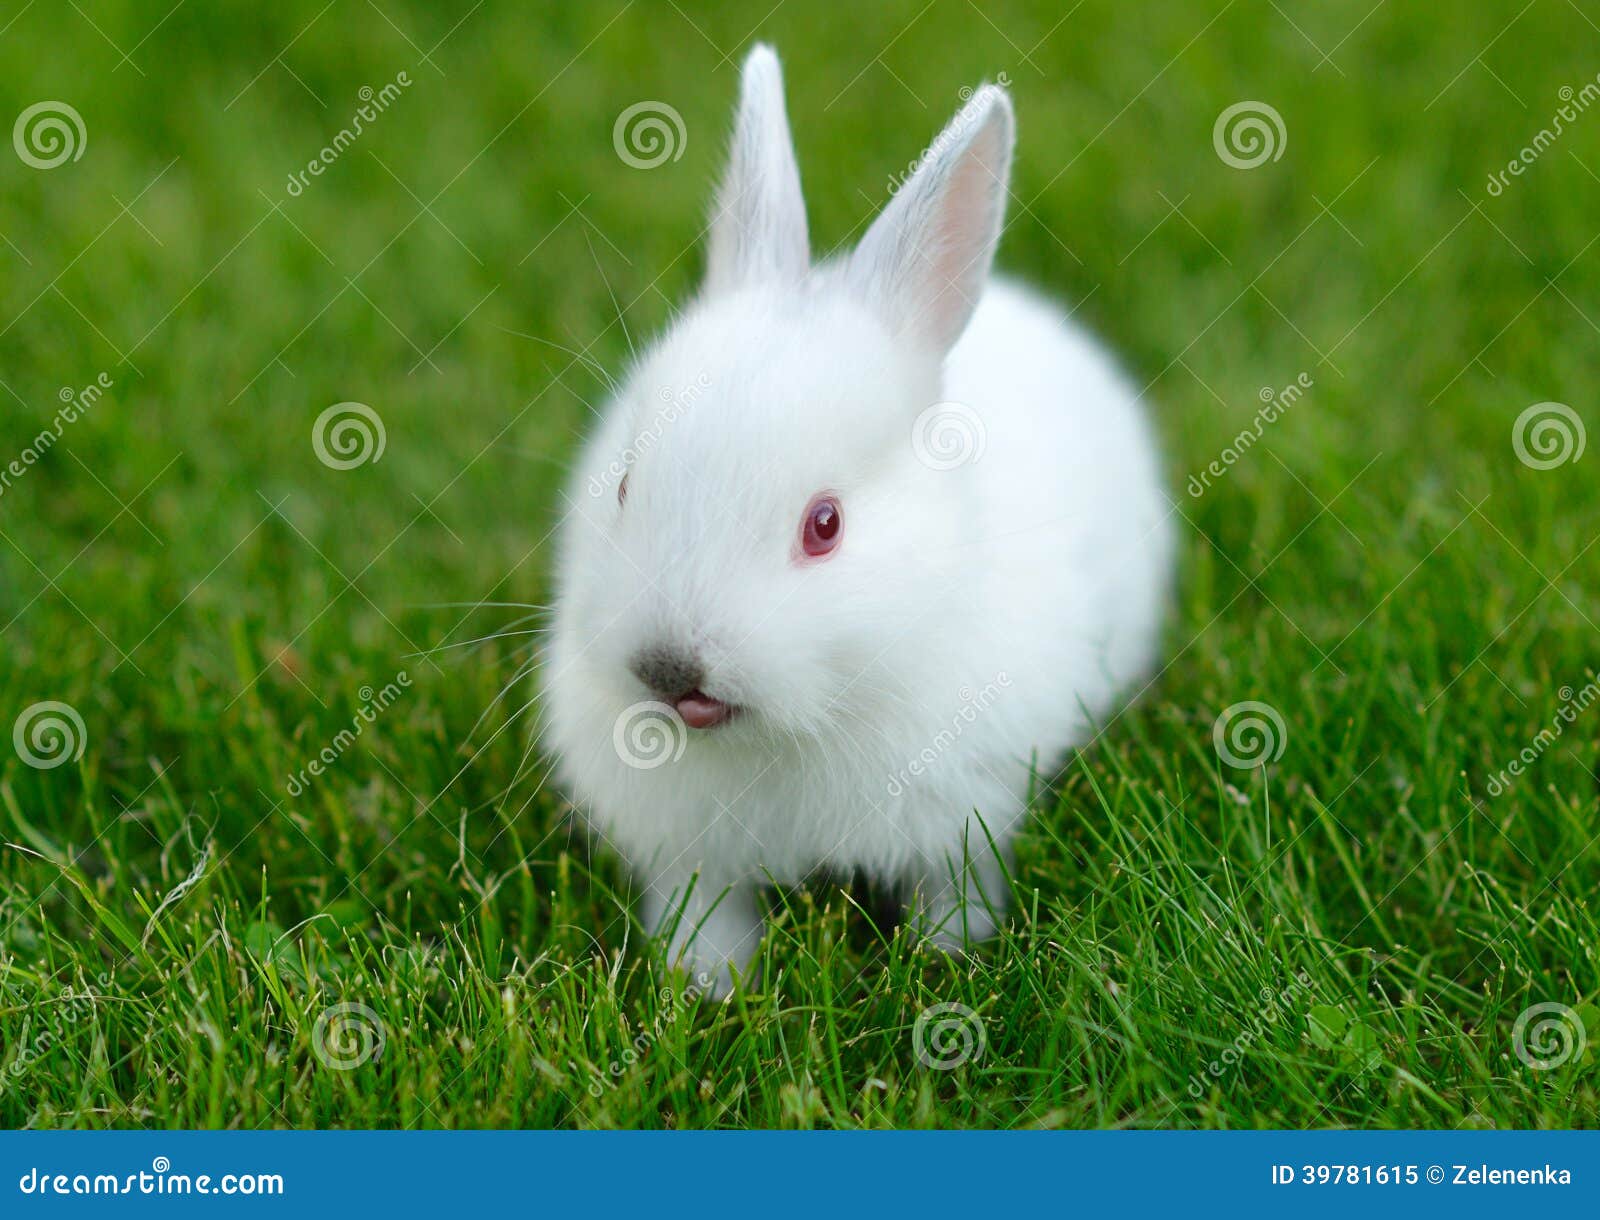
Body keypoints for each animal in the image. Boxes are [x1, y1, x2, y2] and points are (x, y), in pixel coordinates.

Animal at [543, 44, 1173, 996]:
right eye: (622, 483)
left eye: (825, 525)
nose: (667, 668)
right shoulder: (692, 854)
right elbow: (710, 910)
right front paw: (707, 982)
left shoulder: (965, 814)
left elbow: (954, 885)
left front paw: (948, 955)